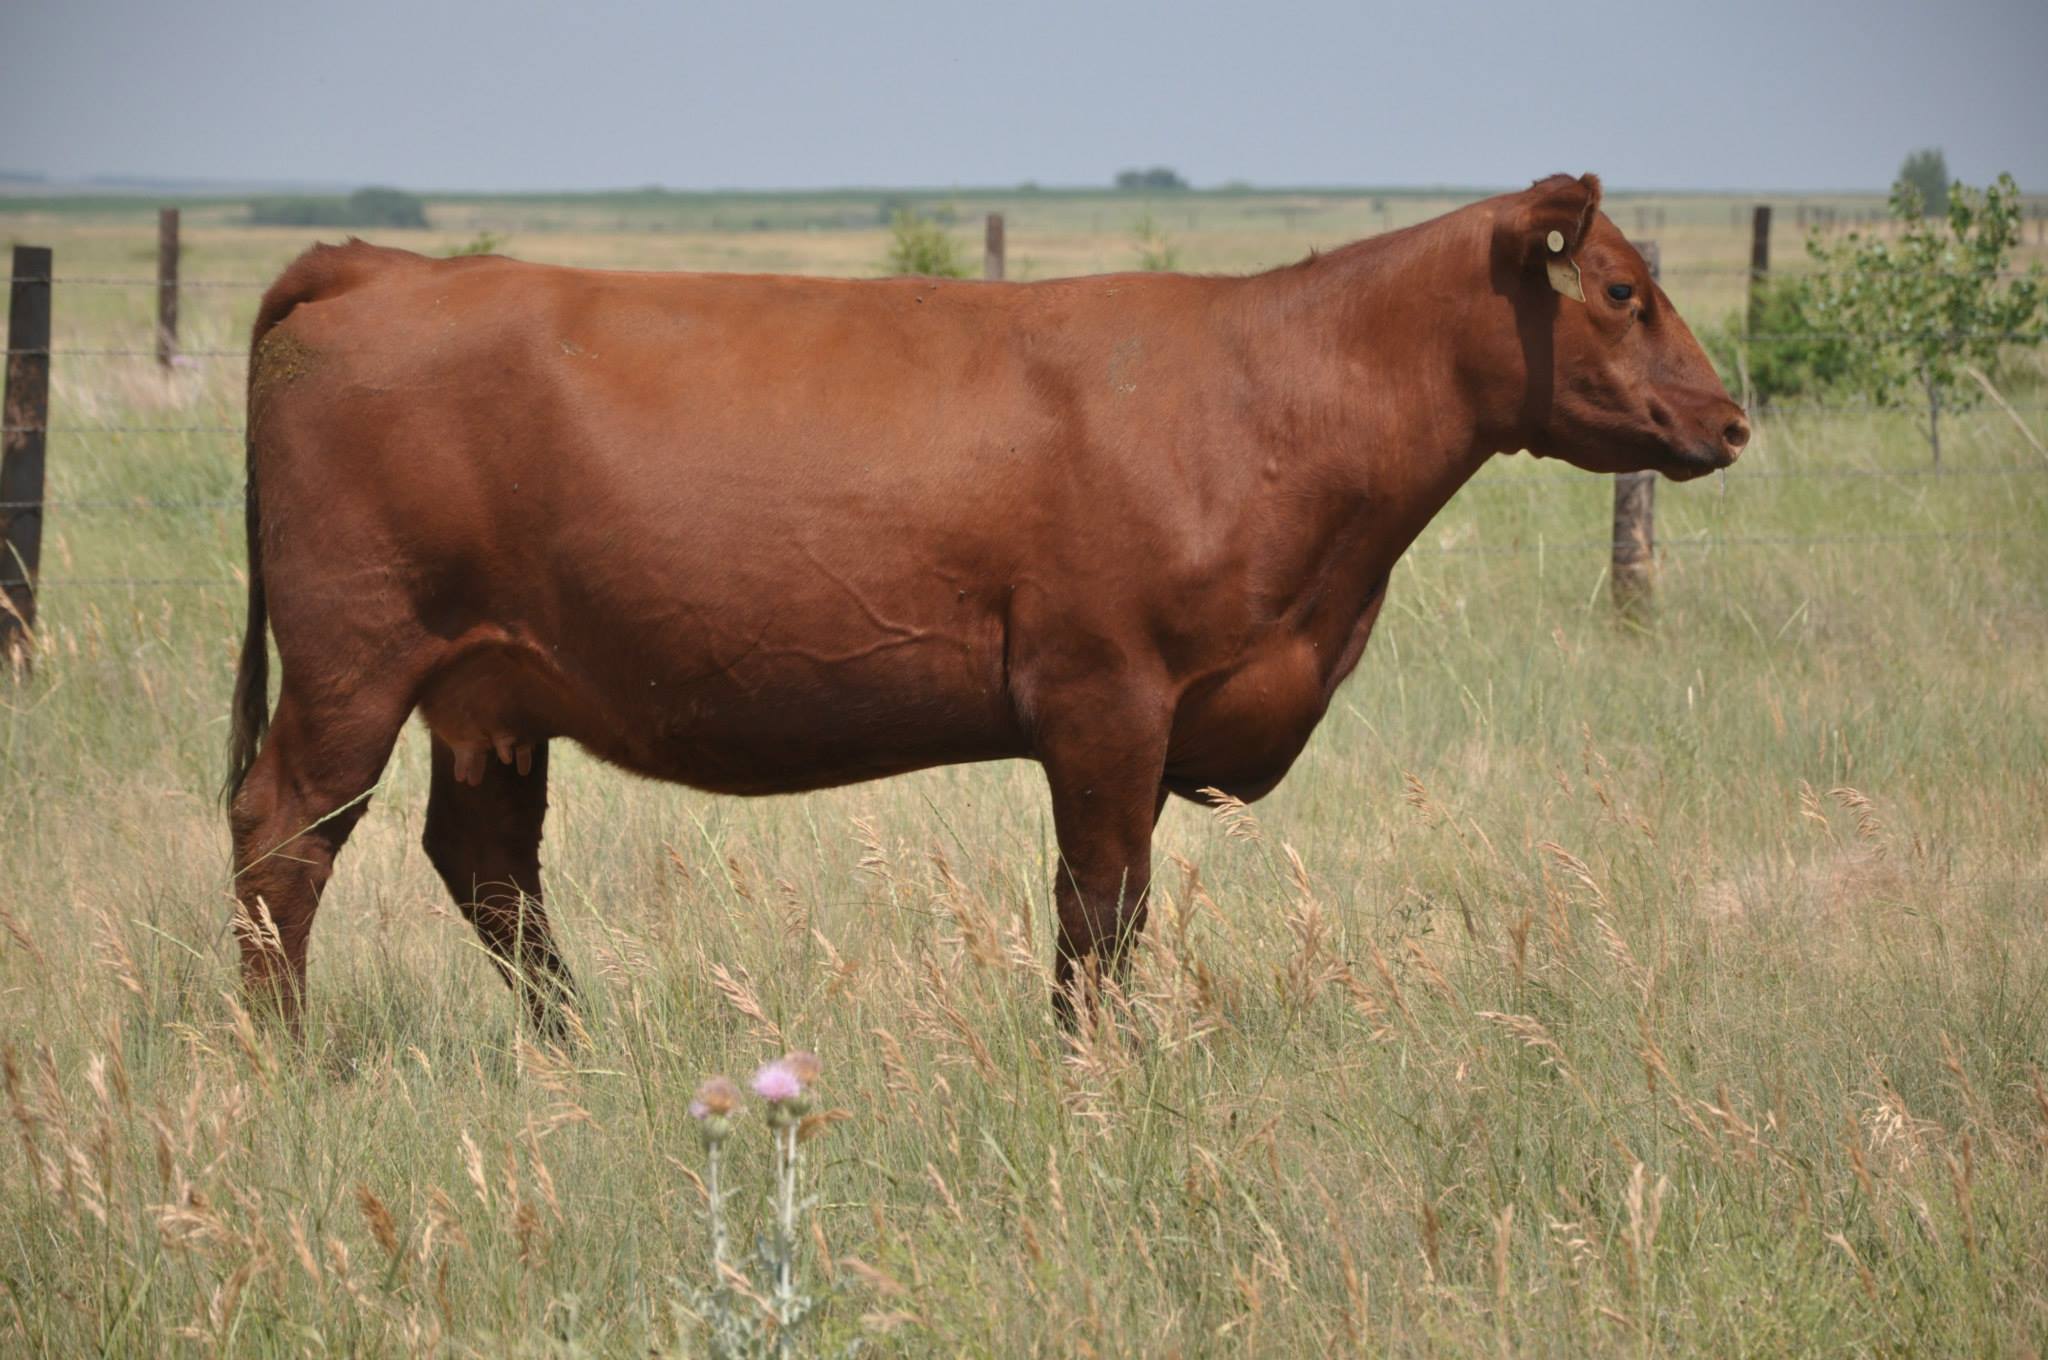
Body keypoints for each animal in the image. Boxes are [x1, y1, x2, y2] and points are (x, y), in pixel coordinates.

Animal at [224, 173, 1747, 1034]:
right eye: (1624, 289)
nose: (1728, 419)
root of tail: (376, 267)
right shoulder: (1106, 696)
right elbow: (1101, 908)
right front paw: (1090, 1072)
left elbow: (1102, 911)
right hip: (356, 656)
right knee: (284, 832)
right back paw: (282, 1055)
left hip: (491, 686)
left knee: (485, 860)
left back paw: (571, 1046)